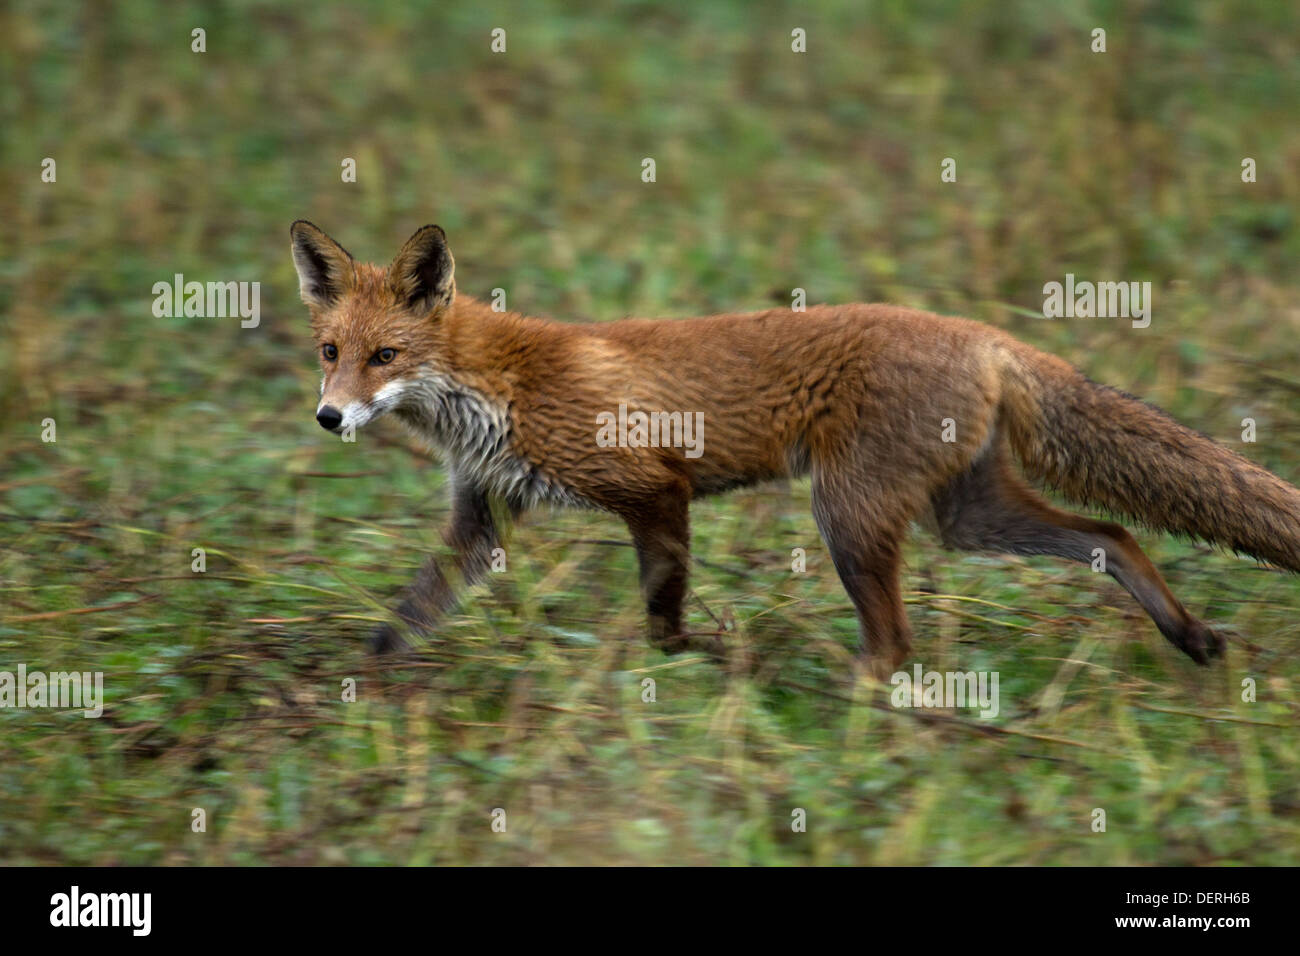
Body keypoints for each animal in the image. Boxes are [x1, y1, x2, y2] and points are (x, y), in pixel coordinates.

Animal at [290, 220, 1300, 675]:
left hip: (847, 514)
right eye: (331, 352)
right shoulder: (481, 522)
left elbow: (661, 609)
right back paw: (1189, 636)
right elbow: (403, 620)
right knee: (1114, 536)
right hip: (966, 517)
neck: (491, 391)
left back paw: (851, 704)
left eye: (385, 357)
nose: (330, 419)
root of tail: (981, 332)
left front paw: (684, 668)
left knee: (895, 643)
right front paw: (358, 687)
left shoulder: (652, 489)